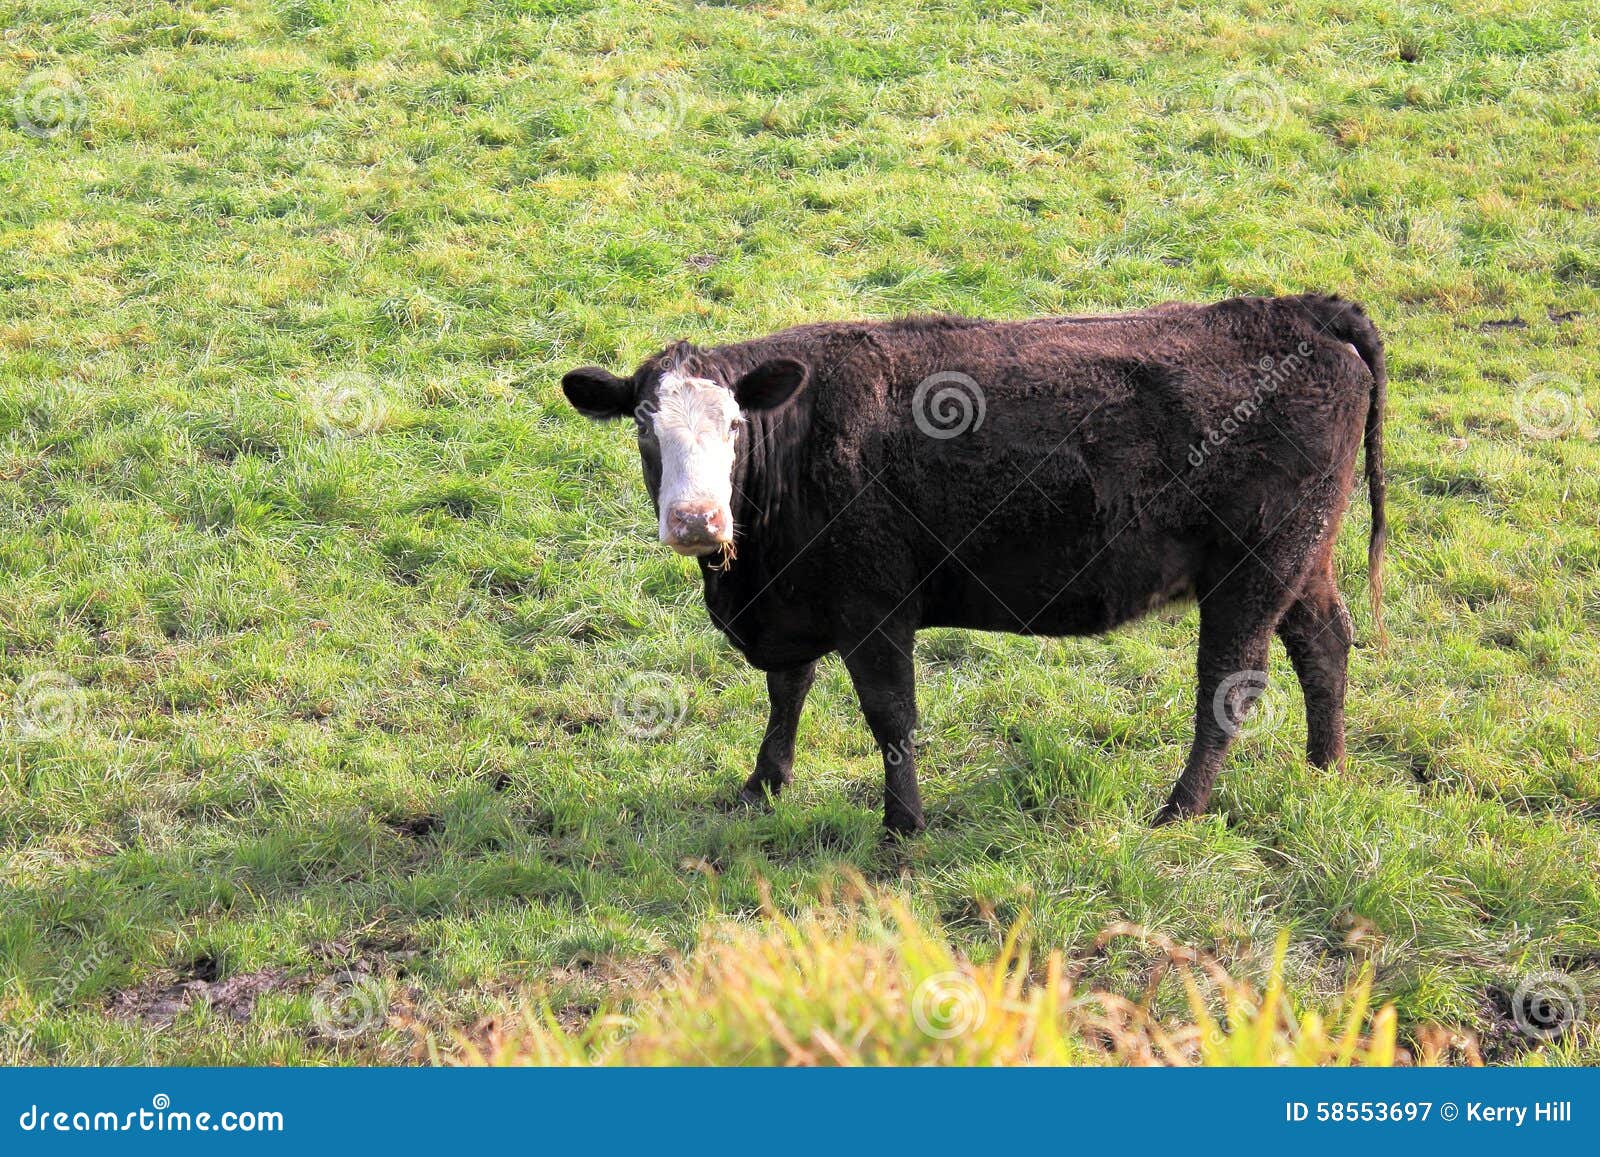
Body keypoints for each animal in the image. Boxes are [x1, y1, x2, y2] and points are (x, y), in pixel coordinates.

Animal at [562, 294, 1387, 836]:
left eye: (735, 424)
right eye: (644, 426)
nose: (696, 520)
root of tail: (1306, 309)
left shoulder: (873, 607)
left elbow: (890, 716)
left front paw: (902, 825)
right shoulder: (800, 597)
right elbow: (787, 690)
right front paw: (763, 783)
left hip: (1253, 569)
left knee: (1230, 685)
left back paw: (1180, 809)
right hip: (1303, 557)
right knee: (1325, 641)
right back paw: (1325, 767)